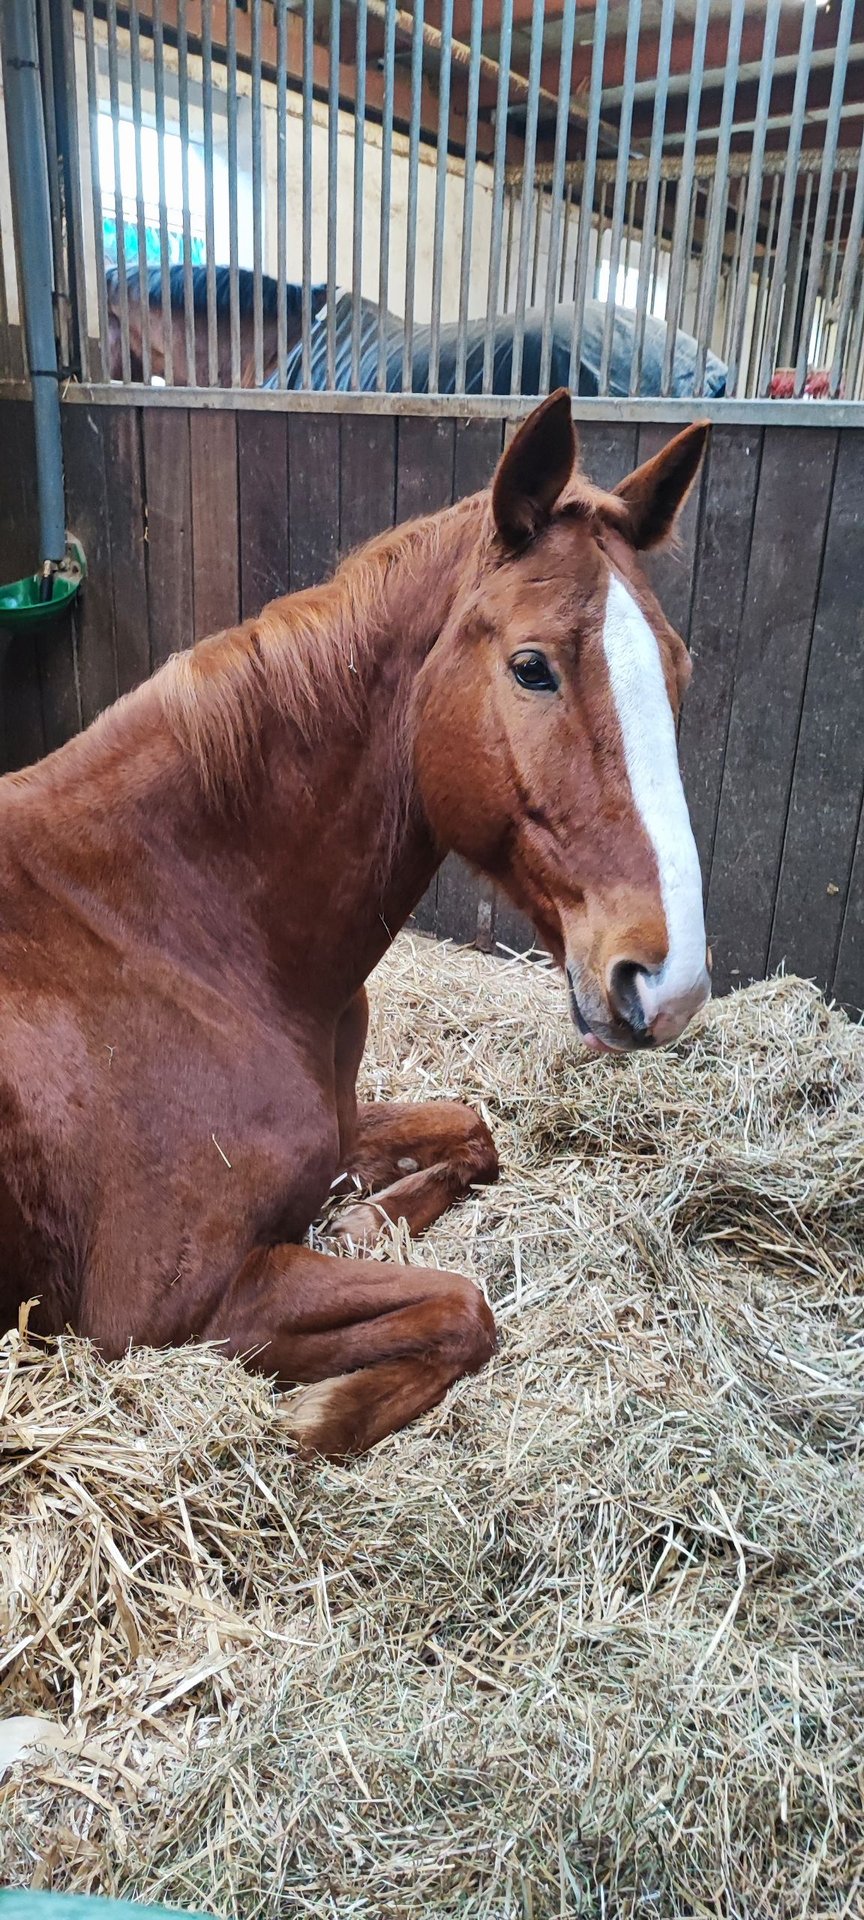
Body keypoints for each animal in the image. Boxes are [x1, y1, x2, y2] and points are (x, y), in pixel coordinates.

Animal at [0, 392, 710, 1457]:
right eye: (532, 668)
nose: (669, 984)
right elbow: (463, 1307)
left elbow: (471, 1129)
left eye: (678, 671)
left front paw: (367, 1219)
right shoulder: (160, 1315)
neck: (173, 933)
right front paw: (323, 1413)